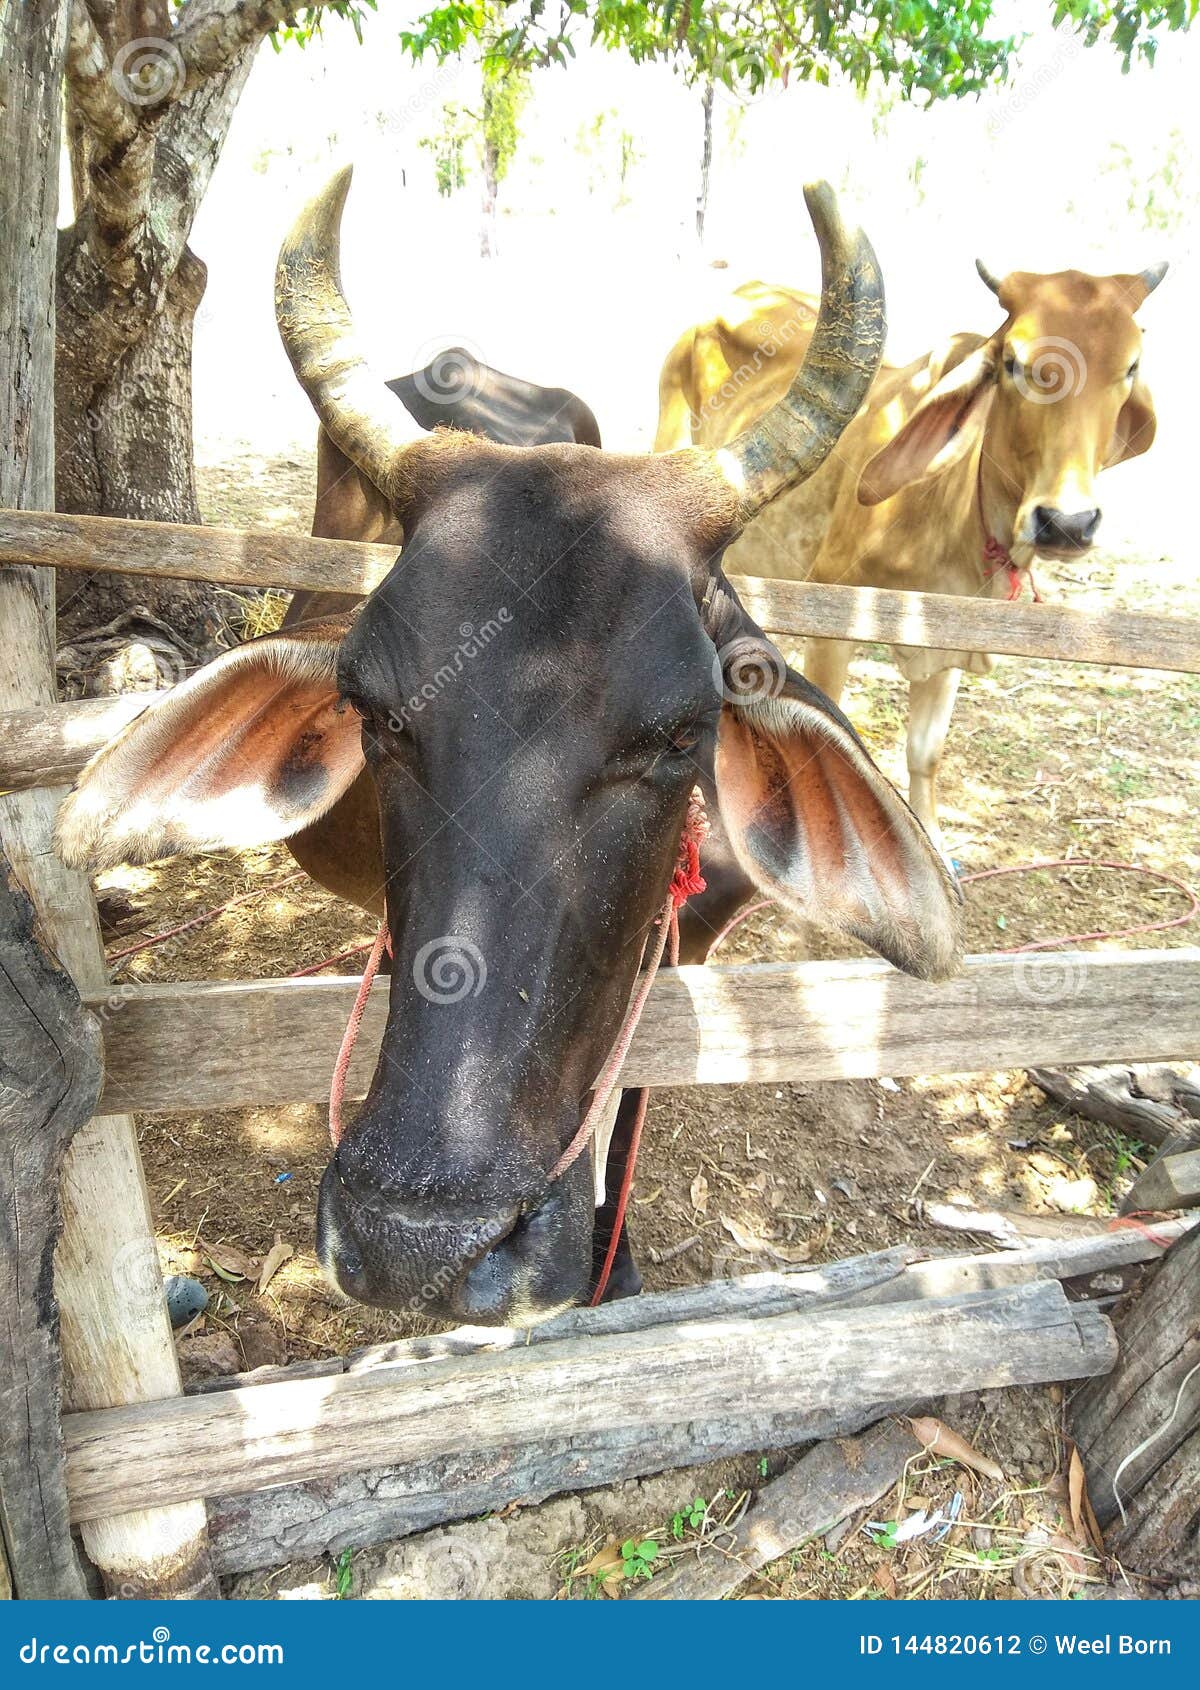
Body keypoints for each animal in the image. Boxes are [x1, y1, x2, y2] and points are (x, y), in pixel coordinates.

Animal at [654, 259, 1166, 854]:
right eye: (1014, 363)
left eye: (1131, 366)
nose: (1067, 522)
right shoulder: (835, 623)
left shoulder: (949, 647)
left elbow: (924, 755)